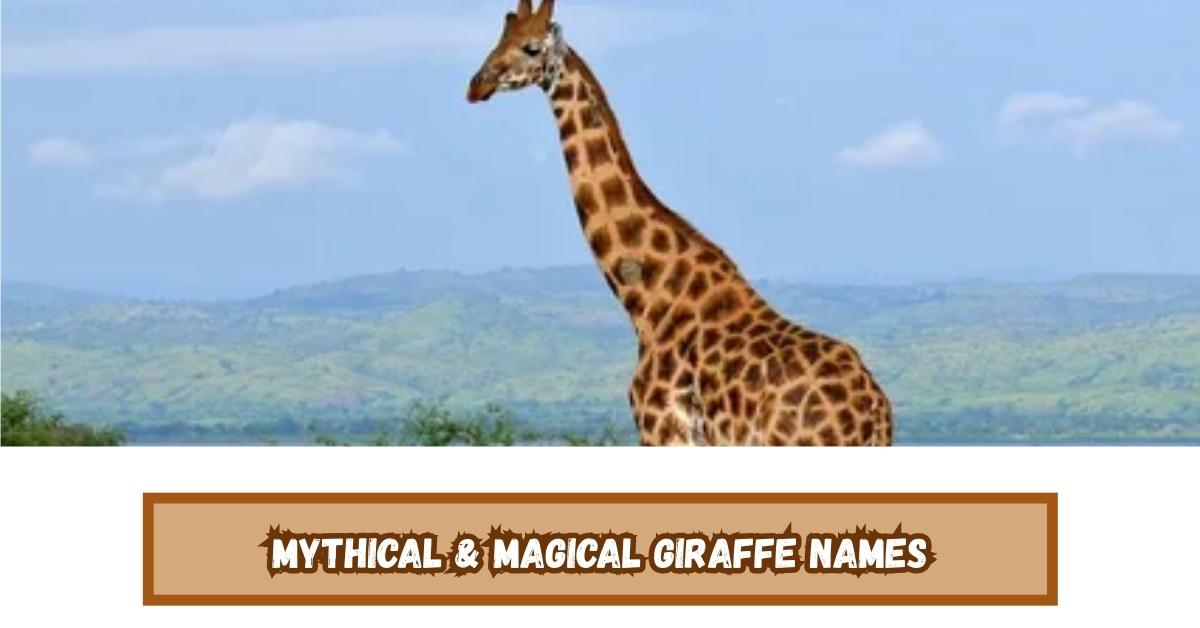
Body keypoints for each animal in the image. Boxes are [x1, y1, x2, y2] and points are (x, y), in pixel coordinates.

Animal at [467, 0, 893, 446]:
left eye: (531, 48)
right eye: (499, 40)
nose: (476, 86)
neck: (647, 301)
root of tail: (875, 413)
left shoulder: (661, 428)